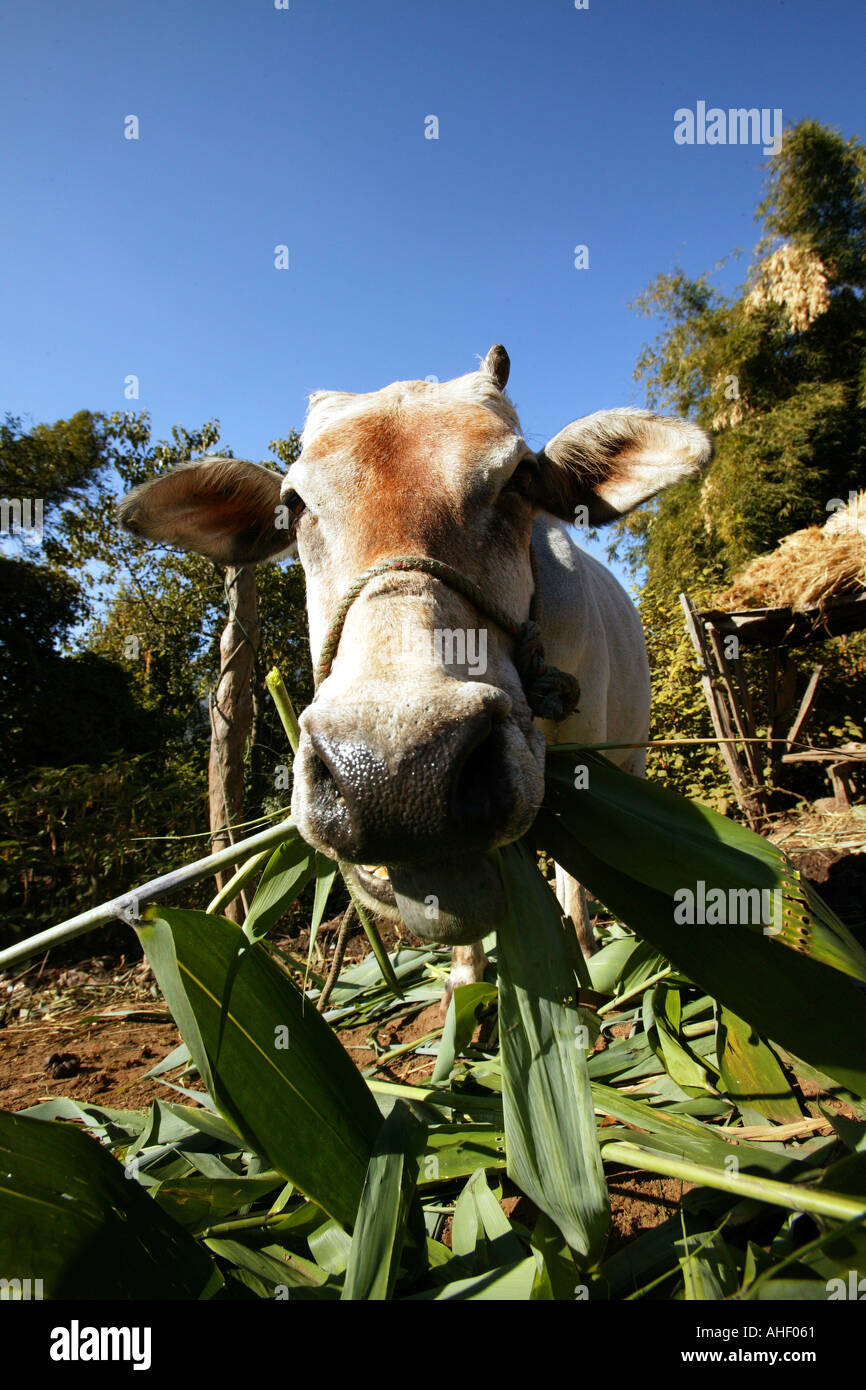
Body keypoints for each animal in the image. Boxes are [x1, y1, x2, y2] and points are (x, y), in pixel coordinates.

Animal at [119, 346, 712, 994]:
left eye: (521, 478)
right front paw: (466, 980)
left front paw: (583, 953)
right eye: (294, 505)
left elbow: (575, 871)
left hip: (632, 754)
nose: (394, 775)